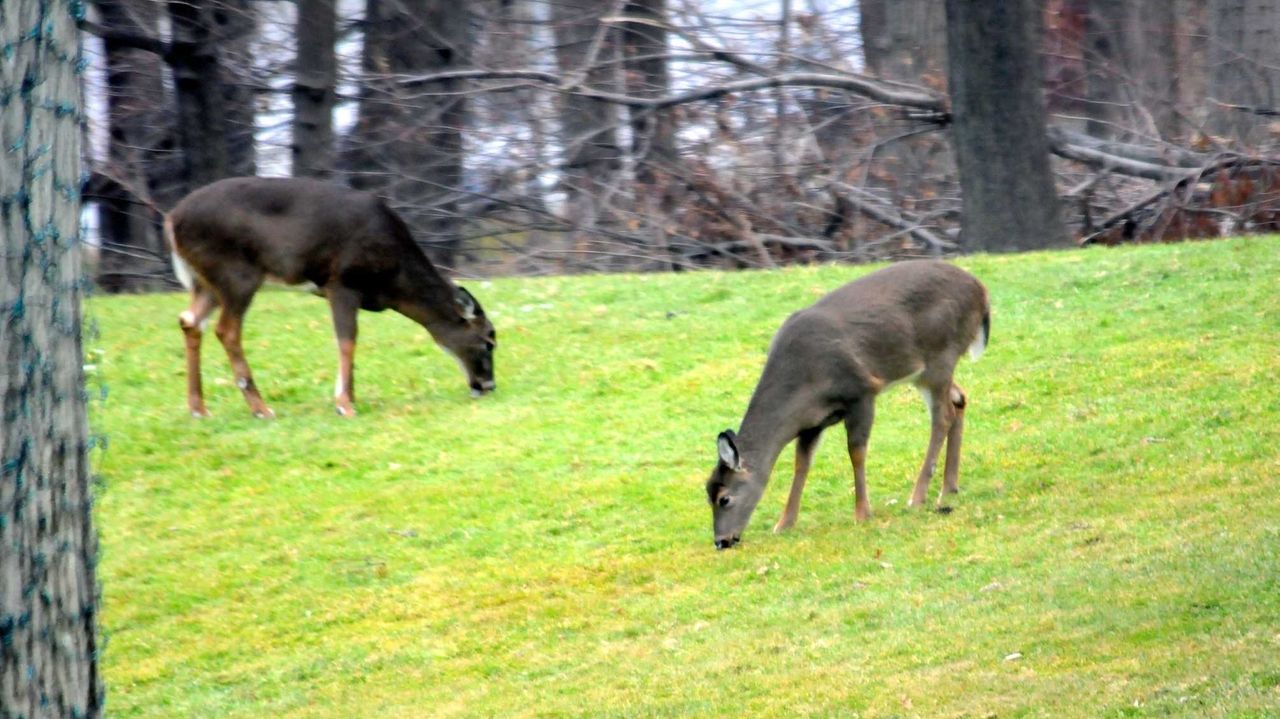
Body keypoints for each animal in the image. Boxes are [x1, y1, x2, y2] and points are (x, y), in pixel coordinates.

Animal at [165, 176, 496, 418]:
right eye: (488, 341)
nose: (488, 385)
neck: (393, 278)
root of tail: (172, 219)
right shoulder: (342, 282)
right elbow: (347, 340)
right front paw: (345, 404)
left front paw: (351, 396)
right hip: (236, 274)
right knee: (227, 330)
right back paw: (260, 409)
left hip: (204, 282)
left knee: (189, 320)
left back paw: (199, 409)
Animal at [706, 260, 989, 550]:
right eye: (707, 493)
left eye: (724, 498)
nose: (721, 541)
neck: (804, 380)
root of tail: (981, 292)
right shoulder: (812, 422)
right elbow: (801, 463)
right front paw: (784, 523)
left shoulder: (861, 392)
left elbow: (856, 452)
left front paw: (862, 512)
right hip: (926, 372)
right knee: (959, 399)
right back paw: (949, 487)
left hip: (940, 355)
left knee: (942, 416)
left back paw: (918, 496)